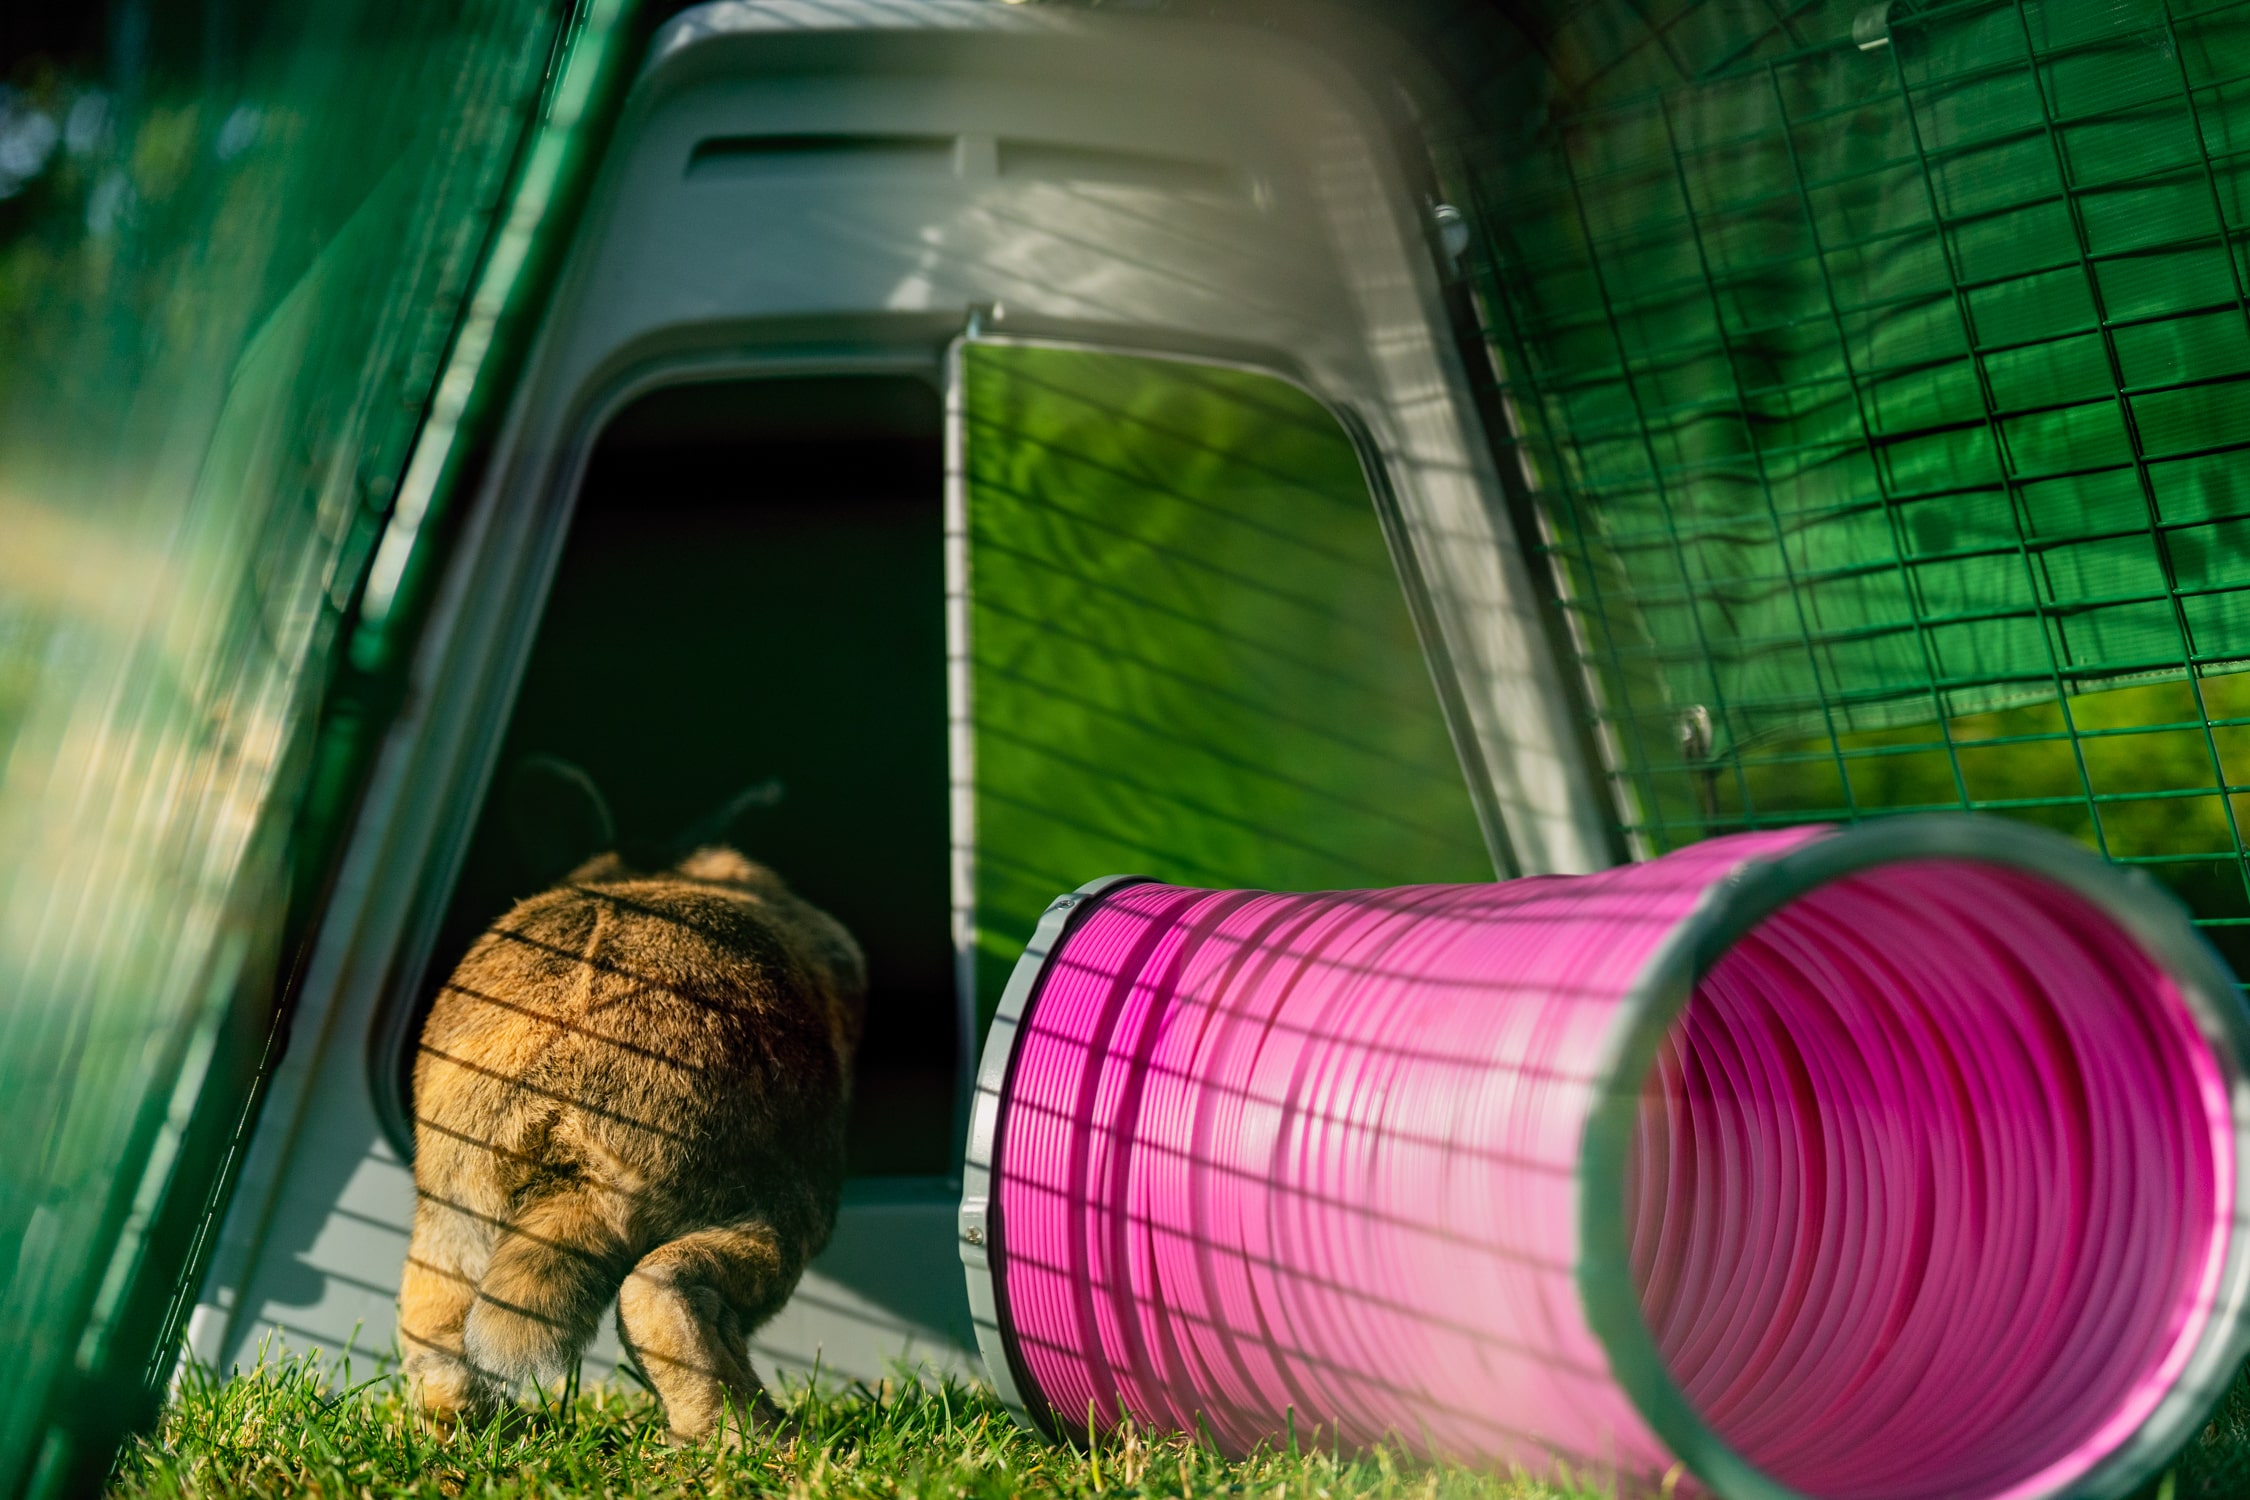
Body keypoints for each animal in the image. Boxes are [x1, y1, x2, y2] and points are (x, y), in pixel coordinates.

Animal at [397, 843, 865, 1444]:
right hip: (773, 1212)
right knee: (662, 1291)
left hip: (453, 1215)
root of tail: (561, 1115)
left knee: (437, 1339)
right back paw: (758, 1437)